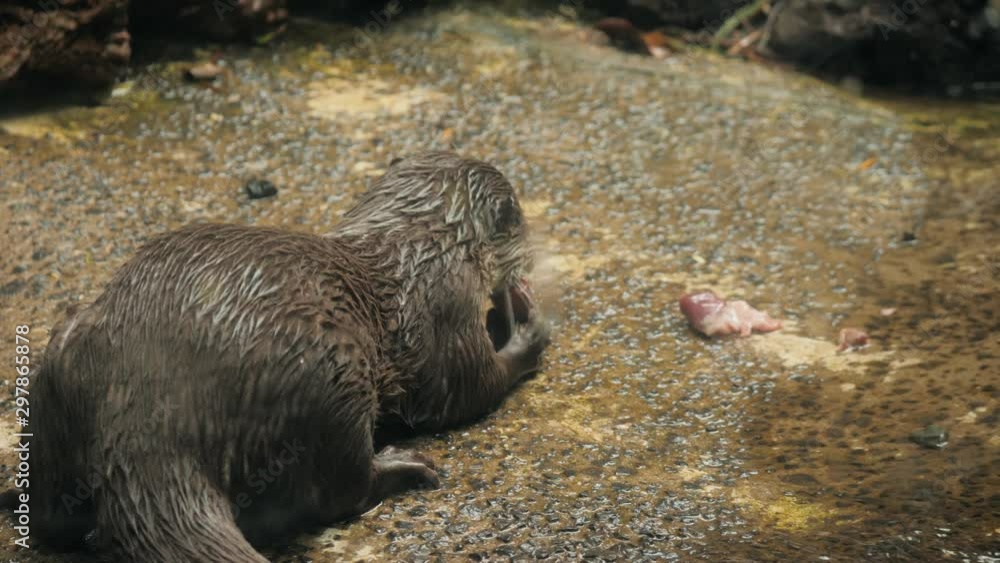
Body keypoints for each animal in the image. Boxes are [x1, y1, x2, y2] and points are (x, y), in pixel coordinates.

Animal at [19, 151, 550, 562]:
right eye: (522, 221)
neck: (422, 241)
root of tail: (147, 419)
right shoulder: (446, 301)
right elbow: (463, 389)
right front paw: (525, 327)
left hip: (60, 358)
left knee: (50, 518)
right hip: (332, 375)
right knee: (339, 490)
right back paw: (402, 465)